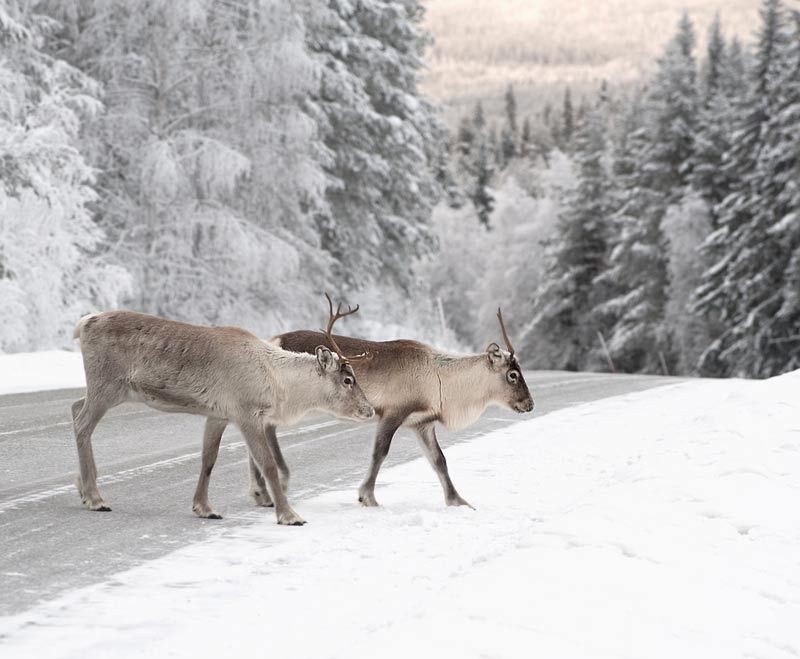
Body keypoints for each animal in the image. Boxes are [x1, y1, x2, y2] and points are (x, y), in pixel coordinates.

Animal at [70, 298, 374, 526]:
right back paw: (95, 498)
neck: (279, 382)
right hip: (107, 384)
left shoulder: (218, 415)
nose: (370, 410)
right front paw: (289, 516)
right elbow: (268, 465)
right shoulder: (246, 414)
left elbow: (208, 460)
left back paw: (83, 489)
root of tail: (84, 323)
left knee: (75, 408)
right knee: (82, 424)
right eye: (348, 380)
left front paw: (205, 508)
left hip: (110, 389)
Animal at [239, 305, 534, 510]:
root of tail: (273, 340)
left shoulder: (422, 422)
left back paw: (261, 493)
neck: (443, 383)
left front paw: (458, 500)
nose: (530, 404)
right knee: (265, 429)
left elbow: (439, 461)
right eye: (512, 375)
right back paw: (265, 490)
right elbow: (380, 452)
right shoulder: (393, 412)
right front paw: (367, 496)